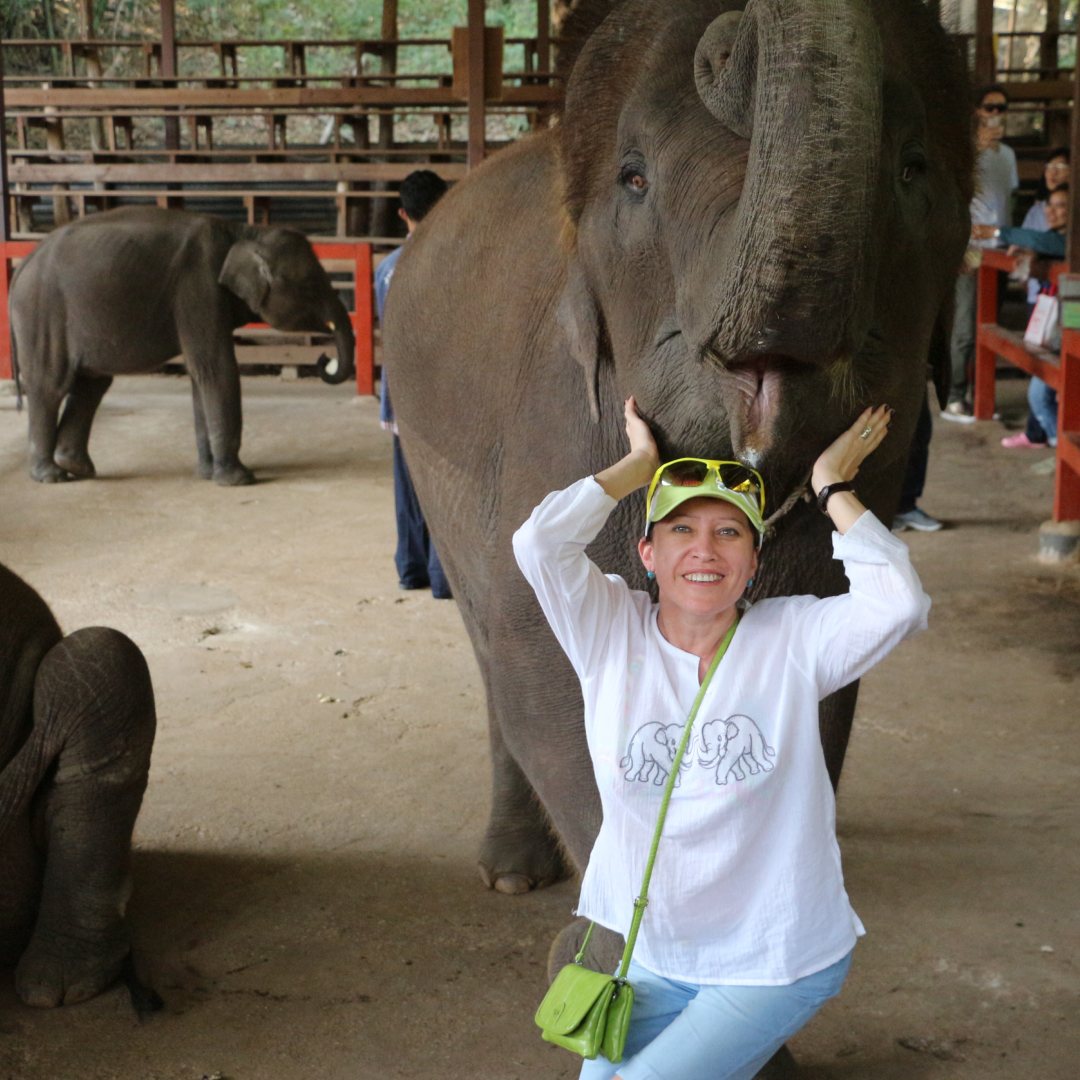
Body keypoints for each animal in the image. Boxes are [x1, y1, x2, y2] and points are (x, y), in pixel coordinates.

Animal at [9, 206, 354, 486]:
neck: (244, 231)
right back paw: (51, 476)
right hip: (43, 313)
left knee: (92, 383)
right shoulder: (198, 288)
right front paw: (239, 480)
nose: (325, 358)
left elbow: (200, 373)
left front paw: (207, 473)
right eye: (311, 287)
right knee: (51, 385)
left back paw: (77, 468)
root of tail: (22, 265)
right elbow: (216, 368)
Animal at [386, 0, 972, 954]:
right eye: (634, 179)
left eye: (912, 168)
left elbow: (824, 677)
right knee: (486, 643)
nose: (732, 39)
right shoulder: (546, 435)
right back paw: (511, 874)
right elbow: (543, 669)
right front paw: (608, 956)